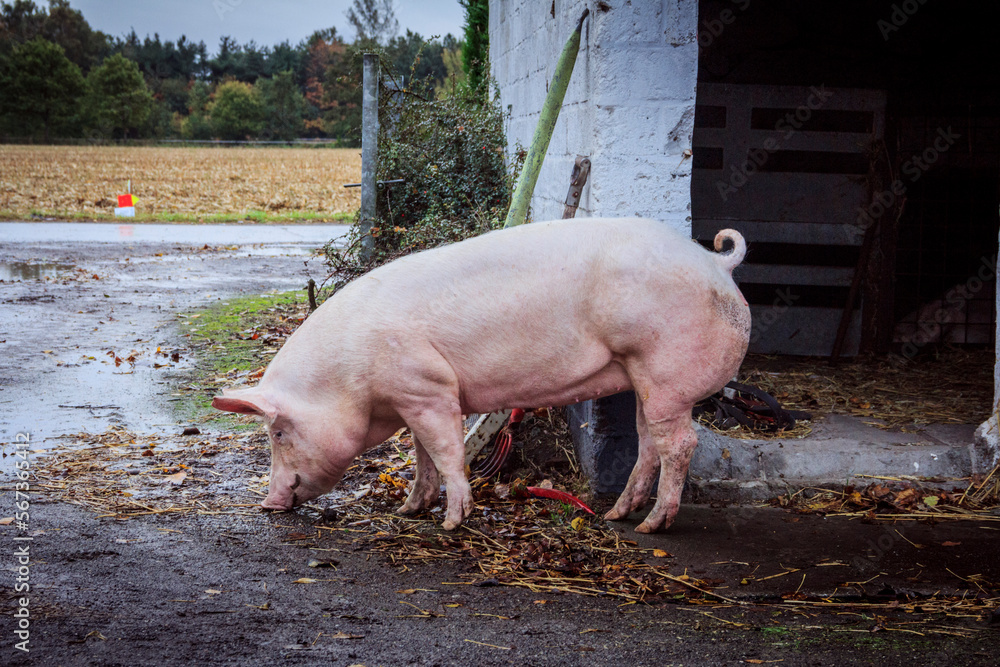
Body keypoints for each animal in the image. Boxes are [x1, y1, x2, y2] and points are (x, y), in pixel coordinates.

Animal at [213, 217, 750, 533]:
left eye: (277, 433)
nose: (268, 503)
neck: (350, 381)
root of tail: (716, 260)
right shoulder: (412, 398)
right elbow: (423, 456)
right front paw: (407, 510)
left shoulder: (429, 388)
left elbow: (448, 453)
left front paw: (451, 524)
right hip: (645, 378)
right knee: (648, 442)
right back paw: (619, 514)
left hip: (667, 370)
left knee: (679, 445)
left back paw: (650, 526)